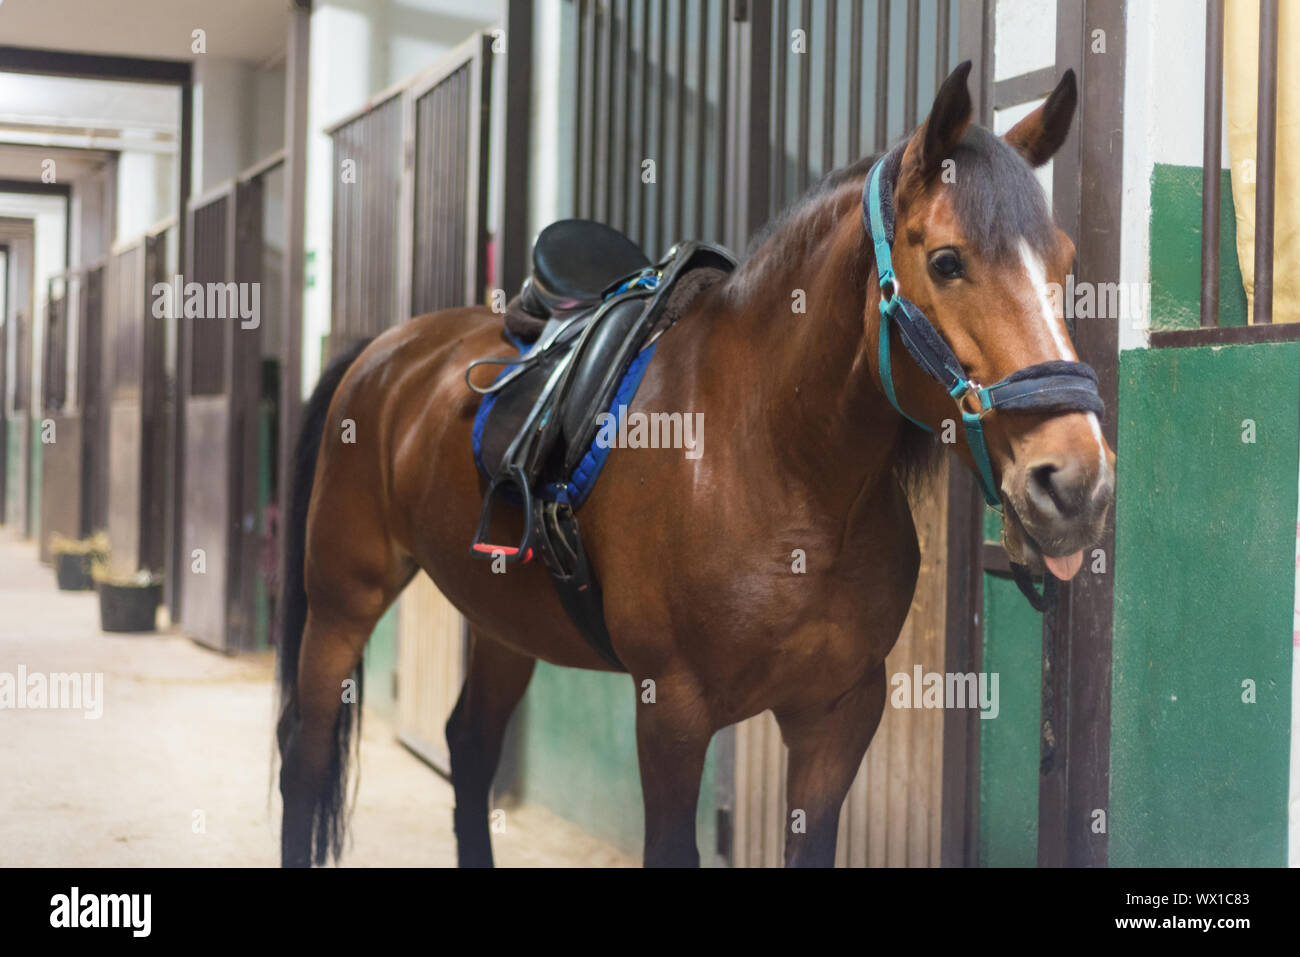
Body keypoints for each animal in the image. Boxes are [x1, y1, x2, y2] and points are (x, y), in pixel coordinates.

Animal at [275, 61, 1116, 868]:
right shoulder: (672, 713)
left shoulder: (838, 714)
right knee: (303, 755)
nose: (1077, 482)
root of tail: (384, 351)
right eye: (946, 261)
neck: (780, 465)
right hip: (342, 598)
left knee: (470, 748)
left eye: (1067, 263)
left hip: (502, 621)